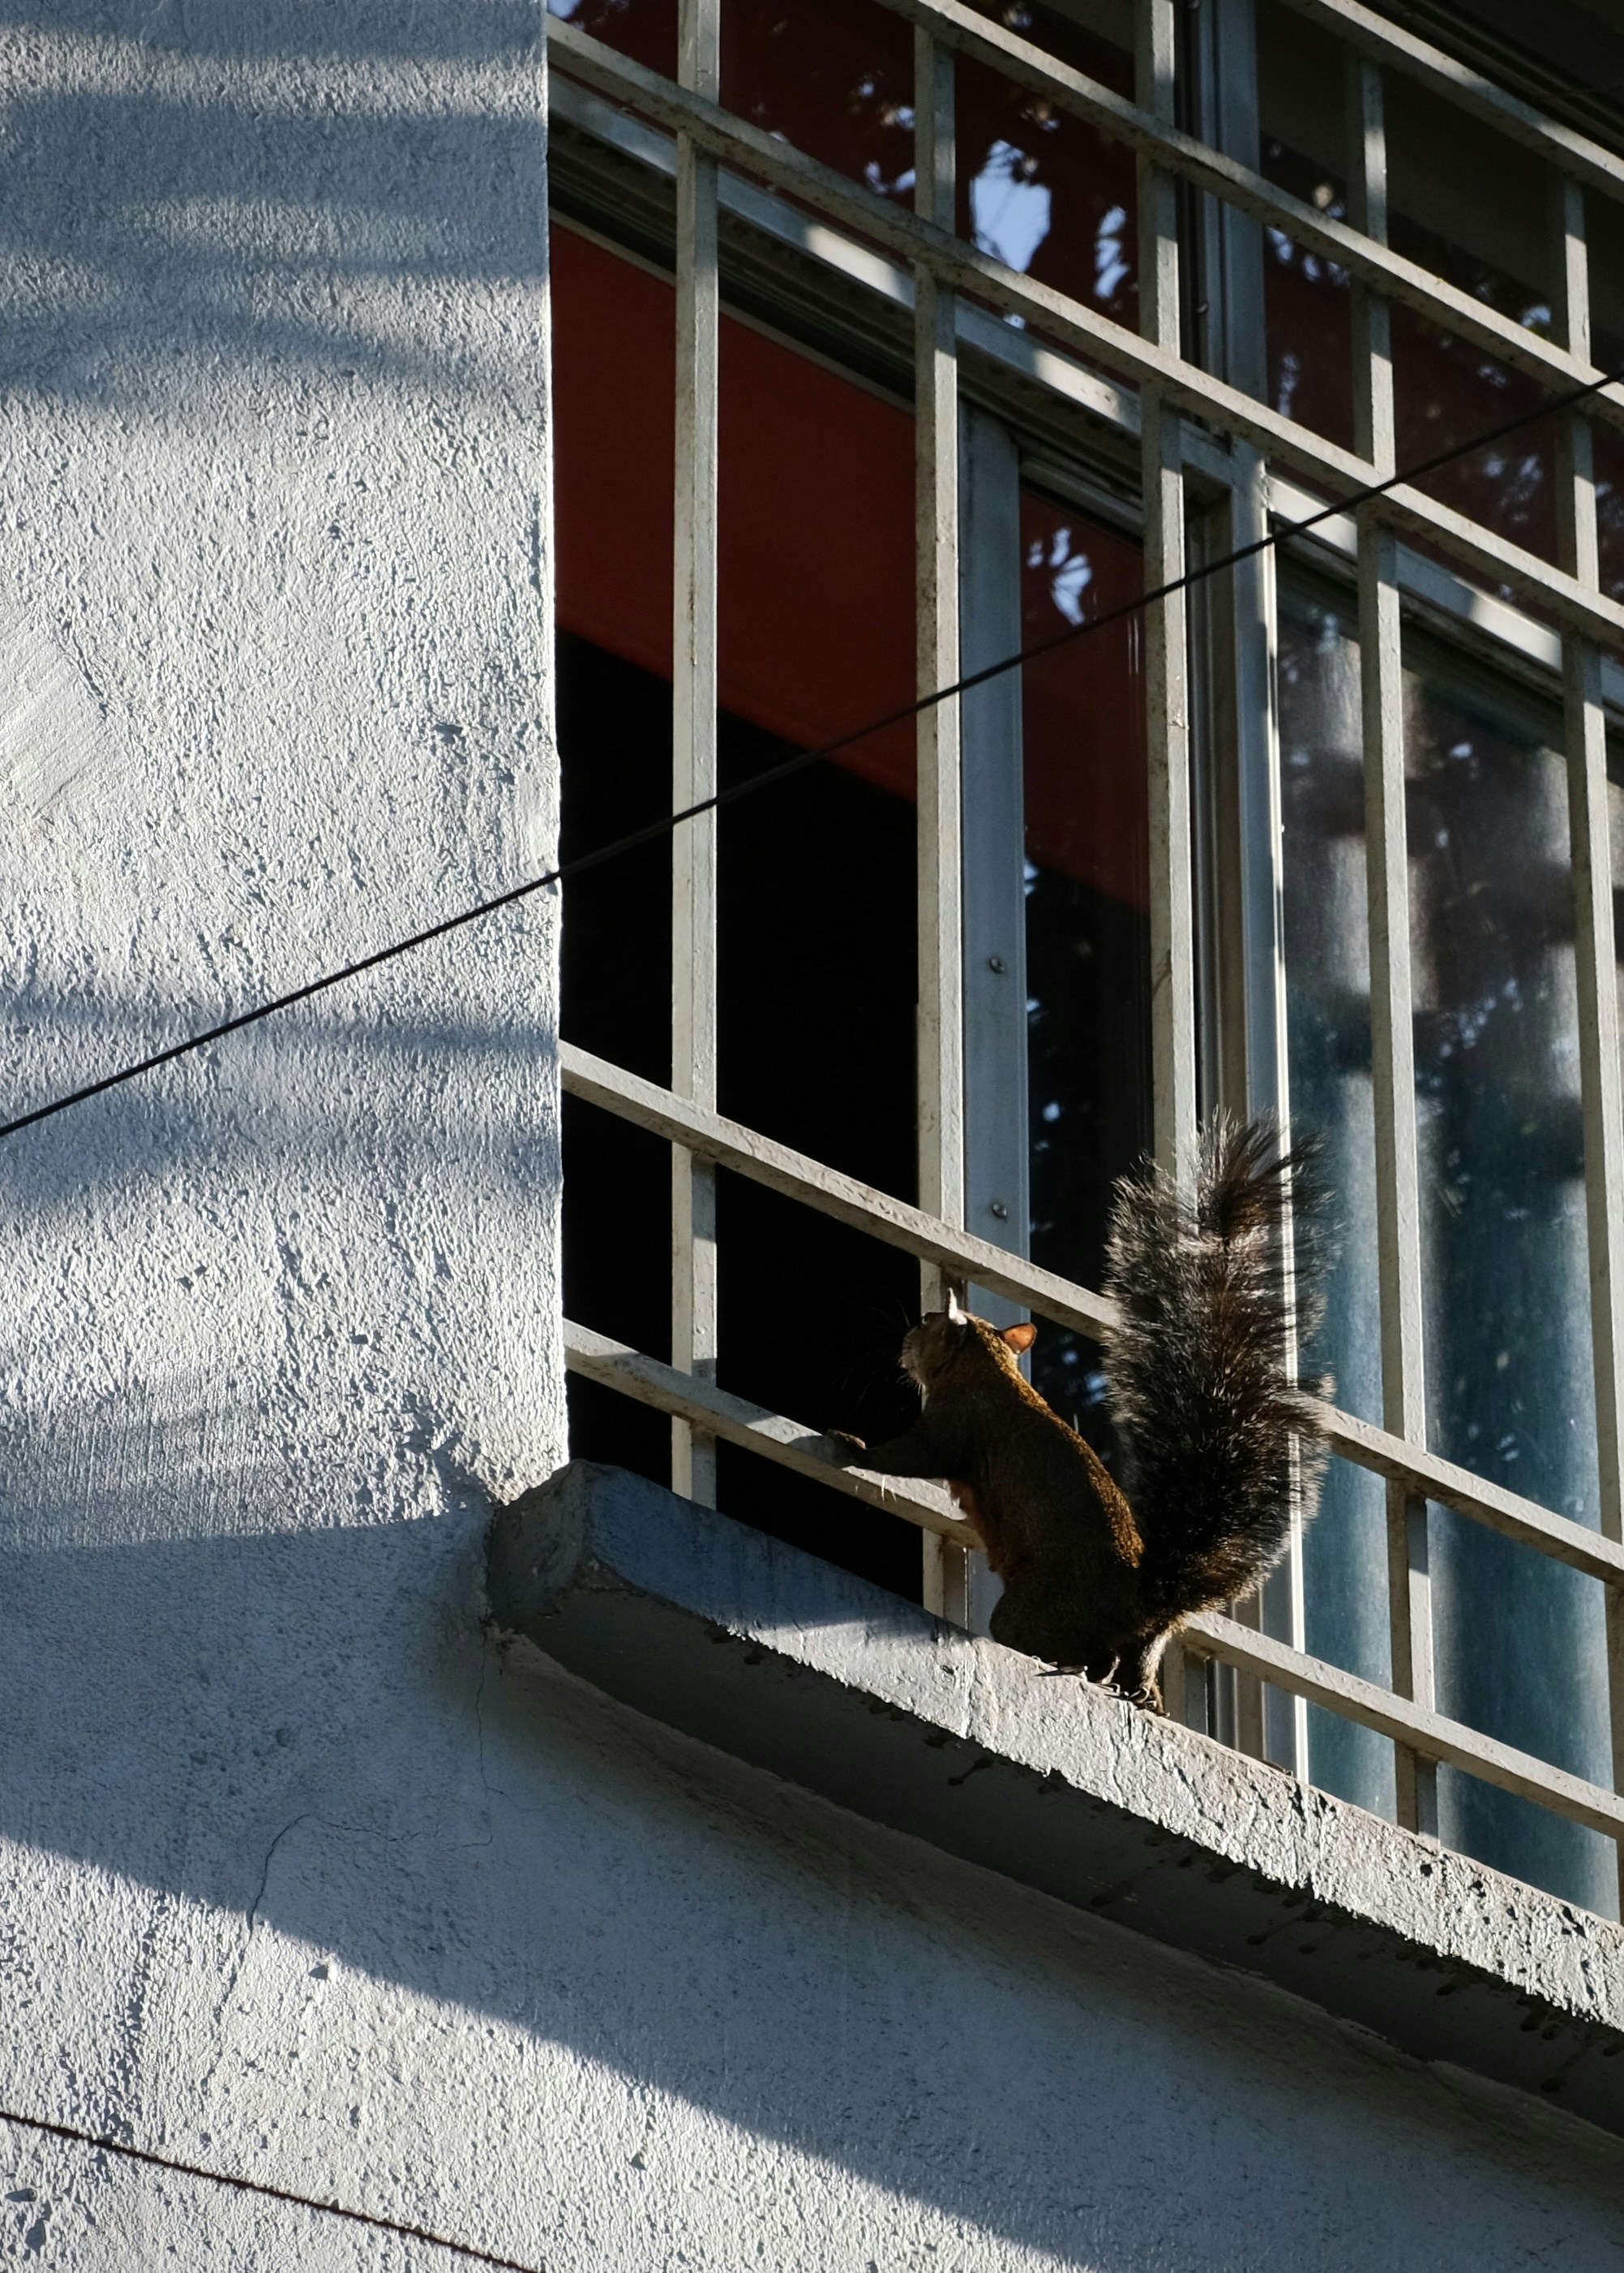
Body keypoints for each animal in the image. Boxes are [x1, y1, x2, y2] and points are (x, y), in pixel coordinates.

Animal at [833, 1117, 1329, 1705]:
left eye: (928, 1324)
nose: (904, 1339)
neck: (989, 1371)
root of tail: (1142, 1601)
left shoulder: (955, 1424)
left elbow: (911, 1455)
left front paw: (855, 1446)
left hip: (1037, 1612)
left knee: (1080, 1650)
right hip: (1142, 1642)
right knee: (1133, 1663)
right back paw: (1146, 1695)